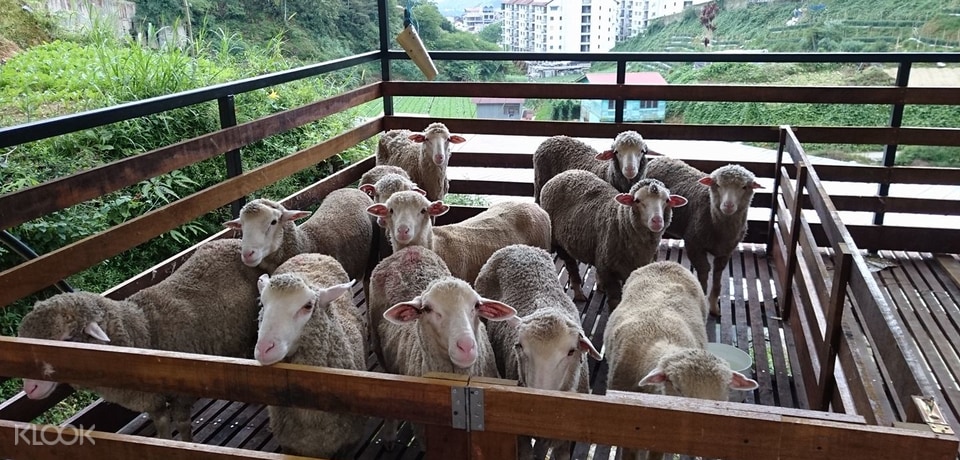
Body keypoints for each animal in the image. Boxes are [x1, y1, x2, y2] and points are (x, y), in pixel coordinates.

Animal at [17, 238, 262, 442]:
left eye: (67, 338)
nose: (30, 388)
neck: (143, 330)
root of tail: (230, 240)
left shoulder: (182, 394)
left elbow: (183, 426)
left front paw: (186, 444)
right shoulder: (151, 401)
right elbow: (162, 428)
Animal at [255, 253, 367, 458]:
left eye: (308, 306)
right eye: (262, 303)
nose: (264, 348)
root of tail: (312, 255)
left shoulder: (347, 445)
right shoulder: (290, 446)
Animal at [368, 245, 517, 449]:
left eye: (476, 305)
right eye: (427, 309)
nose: (466, 346)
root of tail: (409, 249)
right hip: (380, 352)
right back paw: (389, 436)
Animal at [539, 170, 687, 308]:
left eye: (667, 200)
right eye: (637, 200)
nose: (657, 221)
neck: (621, 222)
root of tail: (565, 173)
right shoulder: (609, 271)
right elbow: (615, 300)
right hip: (557, 240)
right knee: (571, 265)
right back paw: (579, 293)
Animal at [643, 156, 762, 316]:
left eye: (744, 187)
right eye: (717, 185)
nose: (728, 205)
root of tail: (658, 158)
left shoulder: (726, 252)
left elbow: (717, 277)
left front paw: (714, 307)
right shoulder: (694, 244)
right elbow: (704, 271)